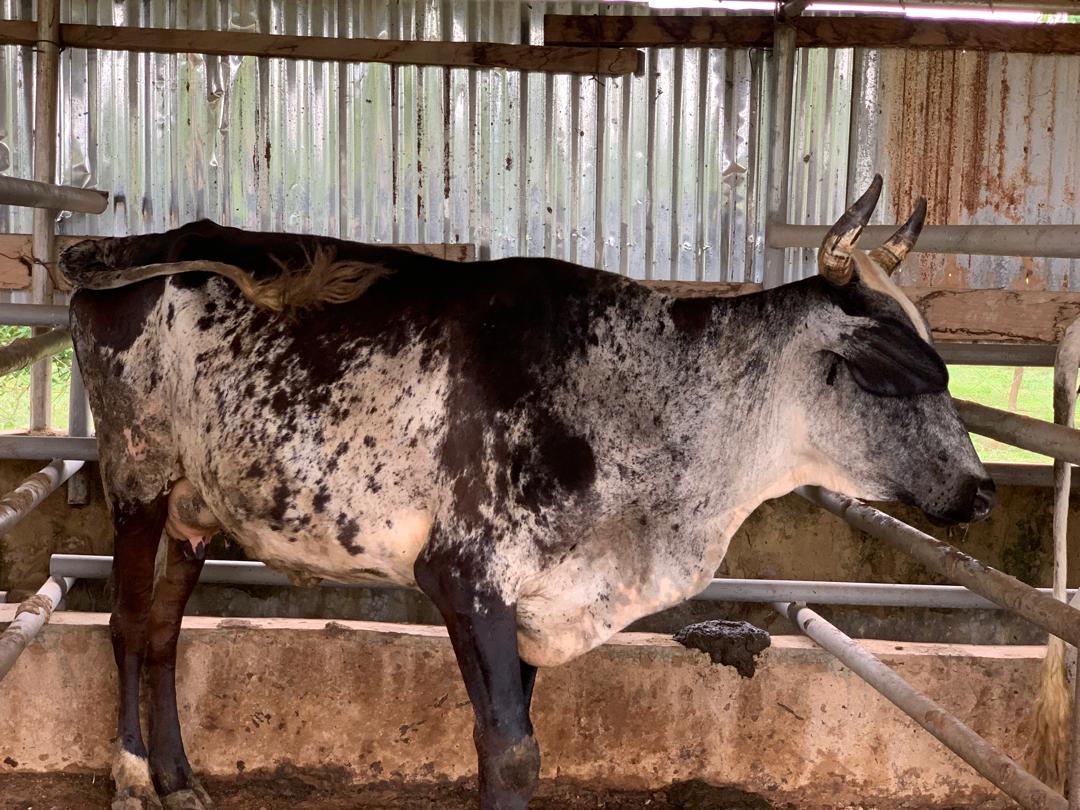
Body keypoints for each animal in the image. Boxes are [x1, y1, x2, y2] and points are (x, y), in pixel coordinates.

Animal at [60, 174, 994, 810]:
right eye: (899, 368)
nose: (982, 491)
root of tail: (132, 247)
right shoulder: (465, 578)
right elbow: (510, 752)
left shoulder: (540, 603)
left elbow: (517, 742)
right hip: (136, 478)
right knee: (127, 624)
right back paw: (132, 774)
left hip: (194, 504)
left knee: (165, 634)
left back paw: (179, 779)